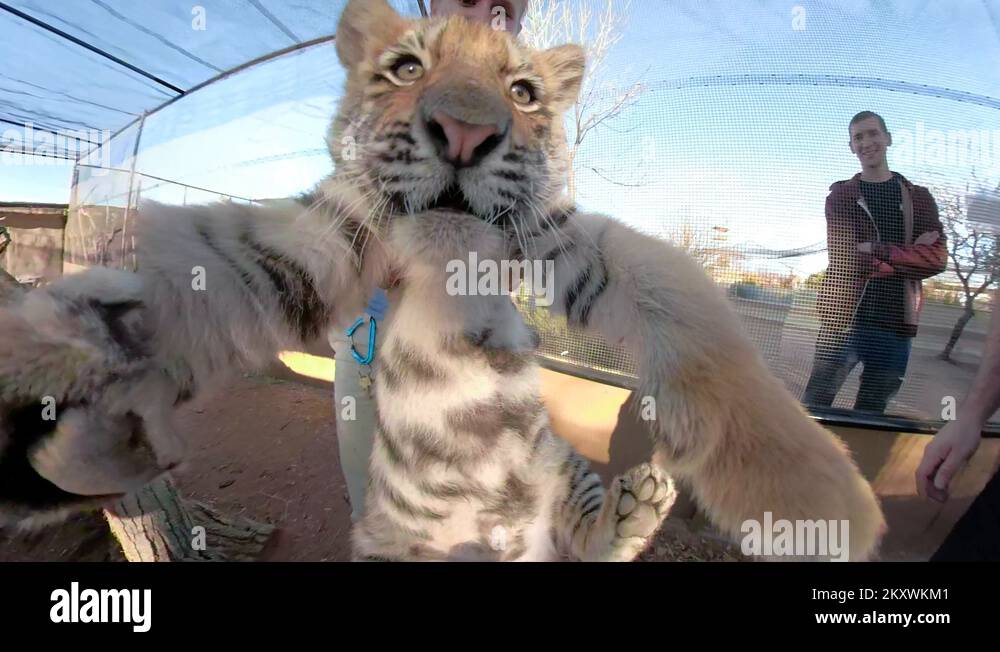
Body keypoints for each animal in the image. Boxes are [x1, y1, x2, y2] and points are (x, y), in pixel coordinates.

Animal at [0, 0, 885, 560]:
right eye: (404, 68)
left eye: (523, 91)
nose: (463, 131)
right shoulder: (327, 236)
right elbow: (202, 268)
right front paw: (46, 390)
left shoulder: (569, 239)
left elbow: (697, 320)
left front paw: (818, 504)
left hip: (558, 461)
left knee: (589, 538)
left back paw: (638, 502)